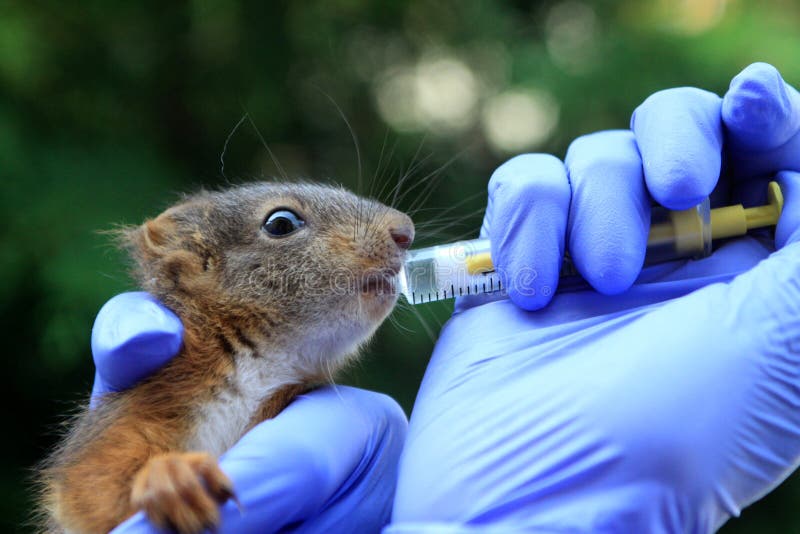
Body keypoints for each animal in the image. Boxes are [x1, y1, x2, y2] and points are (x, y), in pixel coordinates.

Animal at [36, 182, 414, 533]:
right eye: (281, 223)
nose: (405, 230)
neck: (261, 365)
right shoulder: (133, 410)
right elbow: (92, 487)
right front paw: (169, 476)